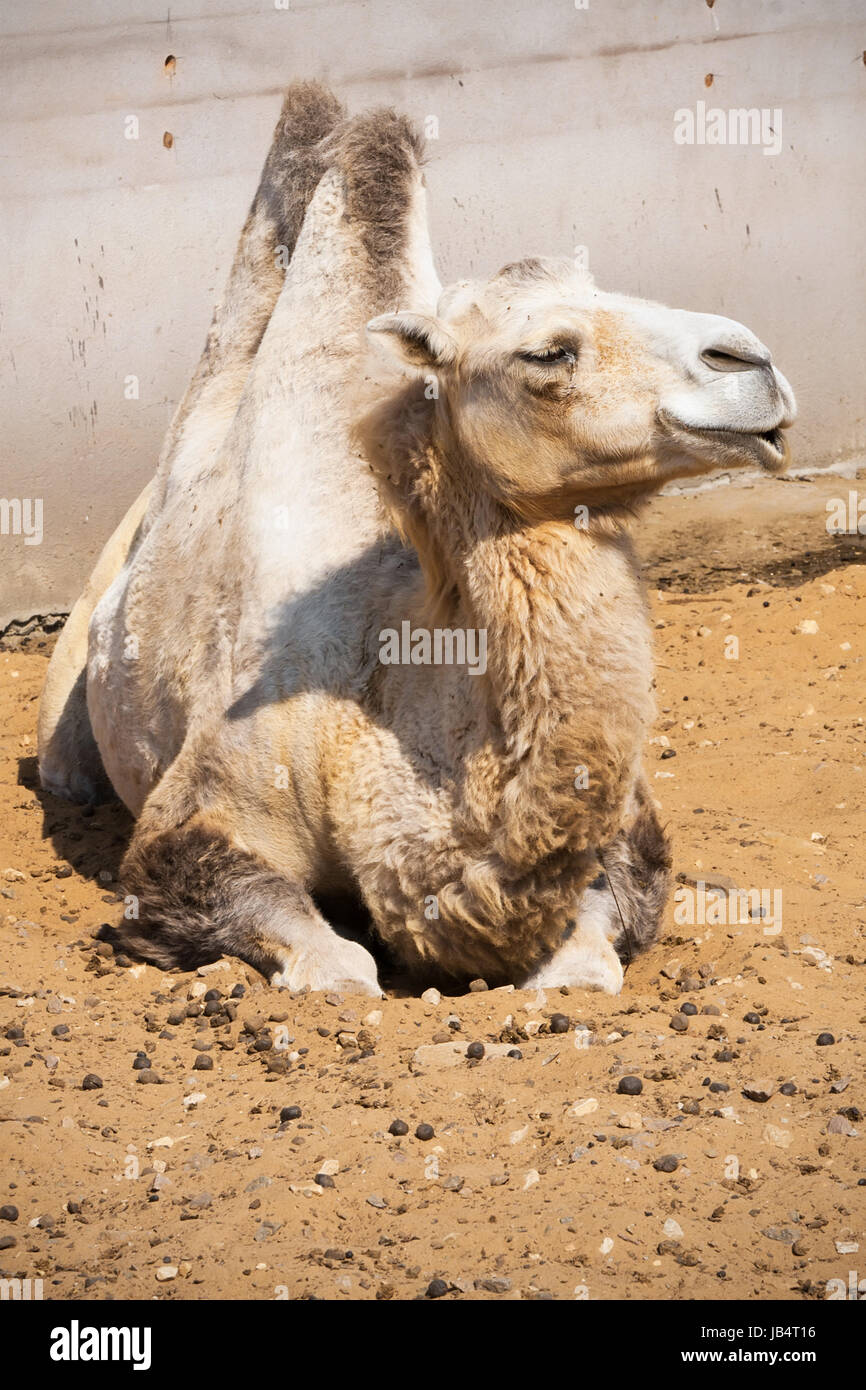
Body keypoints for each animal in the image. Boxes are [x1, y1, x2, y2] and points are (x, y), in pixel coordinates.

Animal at [37, 82, 796, 996]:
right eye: (548, 352)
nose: (751, 362)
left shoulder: (630, 833)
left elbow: (590, 953)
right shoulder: (201, 809)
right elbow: (337, 964)